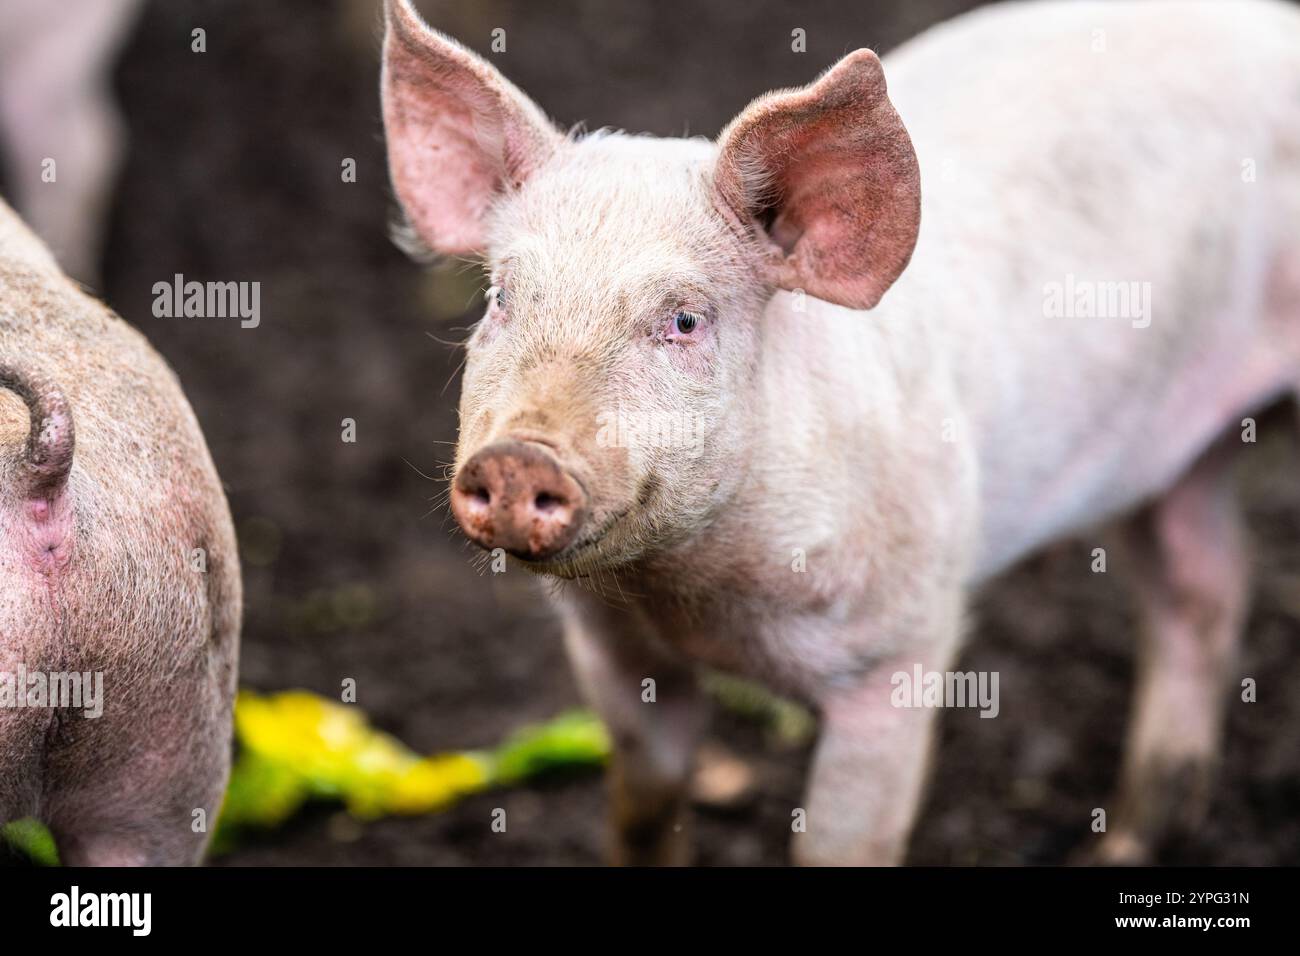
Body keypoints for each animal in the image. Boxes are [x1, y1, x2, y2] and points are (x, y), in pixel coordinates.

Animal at [381, 0, 1300, 865]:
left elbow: (841, 843)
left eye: (684, 320)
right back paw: (1126, 846)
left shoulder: (900, 646)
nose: (517, 456)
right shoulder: (614, 651)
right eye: (501, 297)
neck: (696, 600)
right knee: (1203, 587)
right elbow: (643, 803)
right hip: (1169, 459)